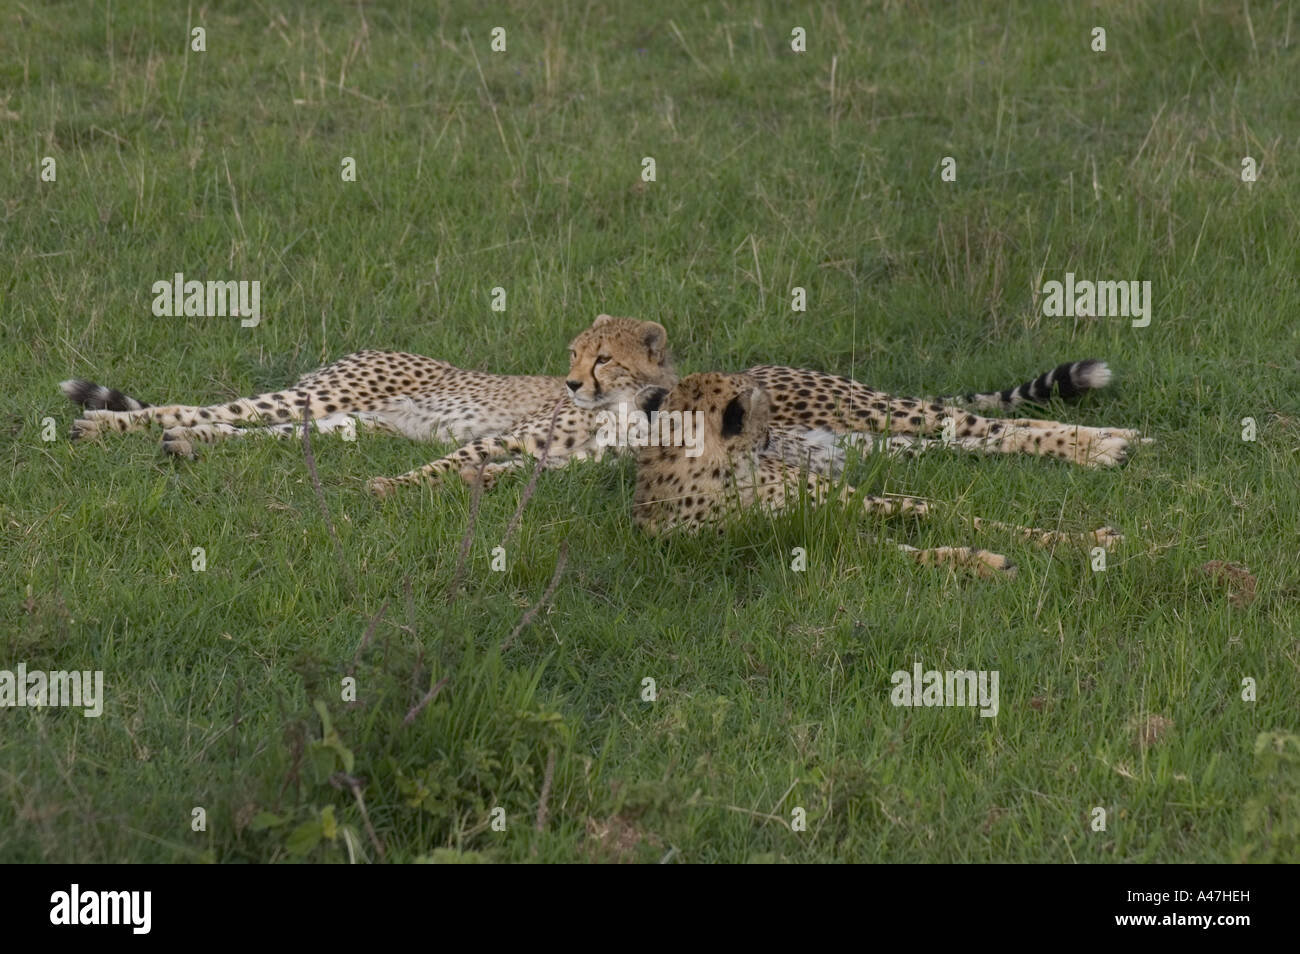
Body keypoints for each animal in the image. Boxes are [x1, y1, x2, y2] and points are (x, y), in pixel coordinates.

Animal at [629, 371, 1125, 578]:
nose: (770, 433)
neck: (729, 474)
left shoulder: (848, 502)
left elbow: (948, 511)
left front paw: (1082, 539)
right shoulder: (816, 538)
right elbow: (915, 550)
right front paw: (982, 561)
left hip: (883, 414)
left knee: (985, 424)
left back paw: (1104, 442)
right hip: (886, 444)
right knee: (974, 439)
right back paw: (1102, 444)